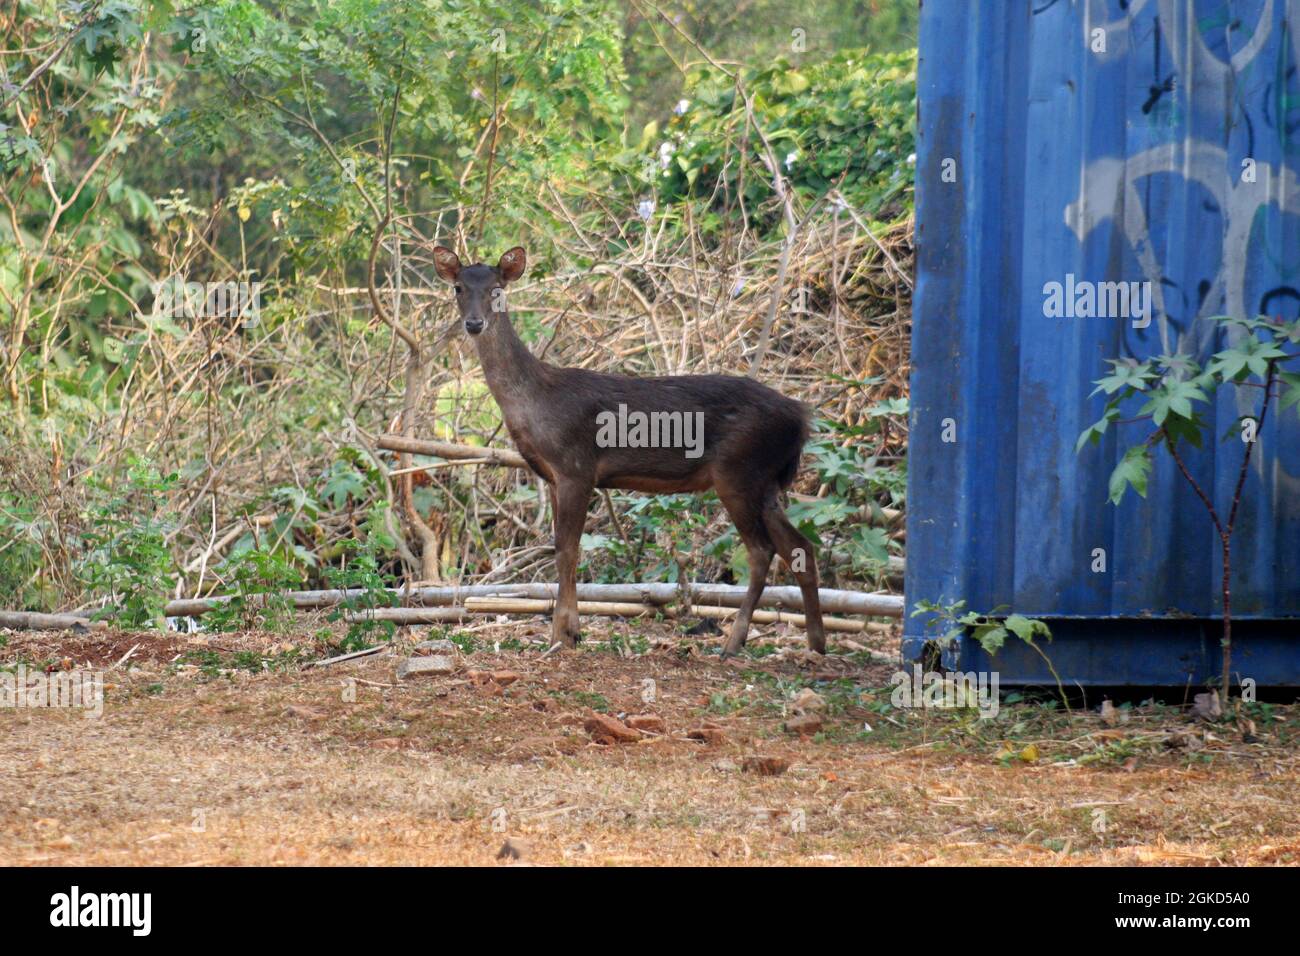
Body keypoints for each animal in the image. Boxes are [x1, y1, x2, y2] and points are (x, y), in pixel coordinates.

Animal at [433, 245, 825, 658]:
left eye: (496, 288)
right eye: (458, 287)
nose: (474, 324)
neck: (536, 400)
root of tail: (801, 419)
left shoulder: (576, 467)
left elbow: (567, 550)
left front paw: (561, 636)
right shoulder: (554, 477)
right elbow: (565, 549)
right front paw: (570, 632)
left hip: (739, 470)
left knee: (762, 551)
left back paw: (734, 642)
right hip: (764, 480)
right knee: (800, 547)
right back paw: (815, 642)